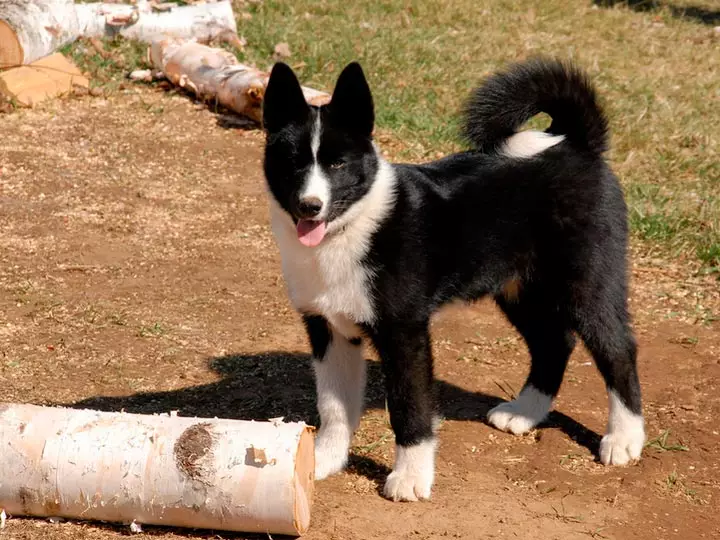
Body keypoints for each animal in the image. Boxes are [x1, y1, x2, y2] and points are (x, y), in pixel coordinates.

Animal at [262, 59, 644, 502]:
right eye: (292, 160)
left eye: (338, 164)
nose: (310, 206)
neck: (353, 226)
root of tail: (575, 145)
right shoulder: (328, 329)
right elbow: (334, 406)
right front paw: (324, 460)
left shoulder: (404, 332)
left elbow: (409, 408)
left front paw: (410, 477)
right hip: (518, 289)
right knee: (554, 343)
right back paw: (525, 412)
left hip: (587, 284)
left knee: (616, 350)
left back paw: (624, 439)